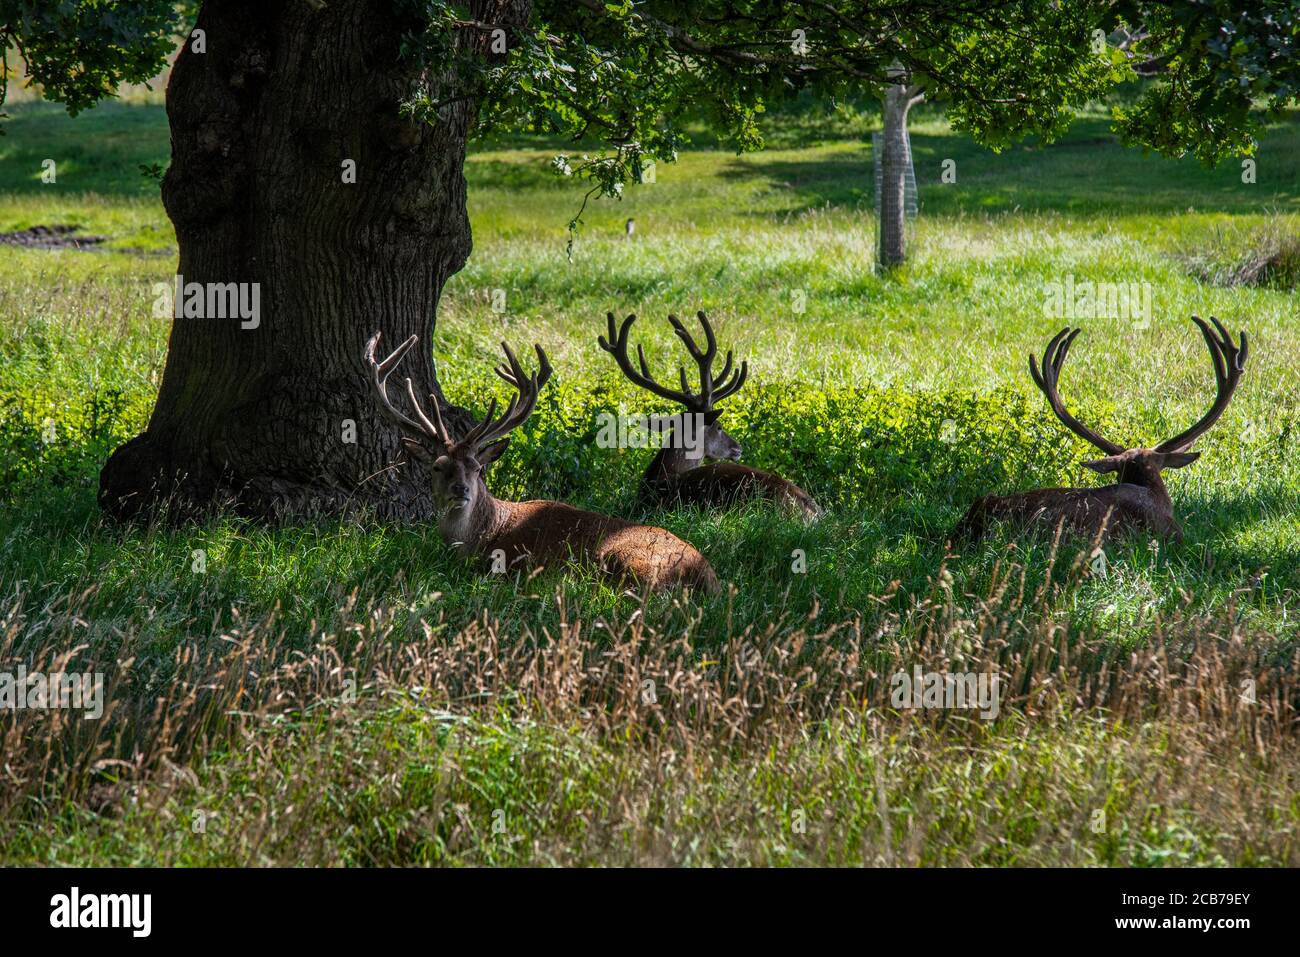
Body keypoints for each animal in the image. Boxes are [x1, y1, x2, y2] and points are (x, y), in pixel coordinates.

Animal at [365, 332, 720, 594]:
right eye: (438, 466)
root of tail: (705, 574)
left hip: (627, 560)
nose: (461, 490)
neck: (485, 535)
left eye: (477, 468)